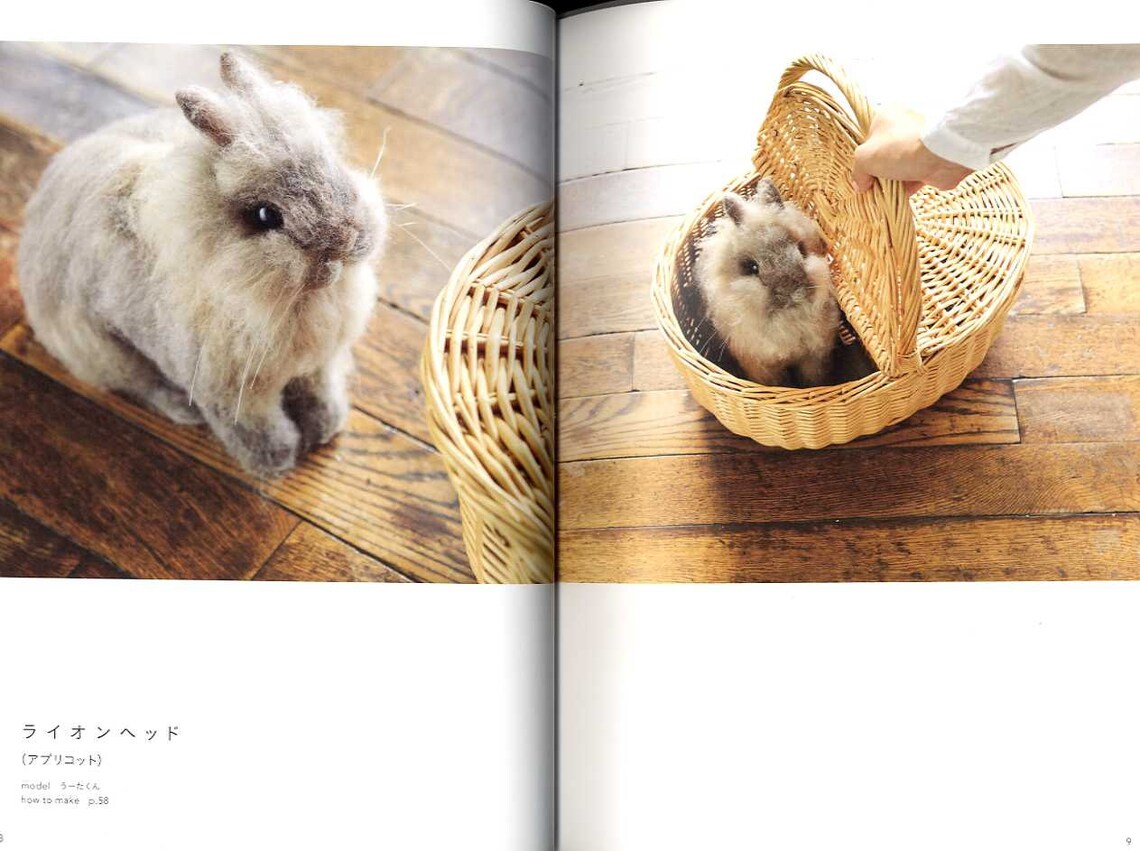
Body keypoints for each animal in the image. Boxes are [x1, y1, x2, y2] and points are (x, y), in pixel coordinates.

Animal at [17, 51, 388, 476]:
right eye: (266, 215)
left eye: (331, 159)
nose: (348, 240)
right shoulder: (230, 394)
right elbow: (254, 428)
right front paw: (277, 461)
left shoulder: (318, 366)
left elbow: (321, 395)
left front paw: (326, 431)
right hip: (106, 351)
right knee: (143, 386)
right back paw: (183, 411)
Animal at [695, 181, 839, 387]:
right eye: (752, 267)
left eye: (801, 249)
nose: (792, 294)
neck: (788, 320)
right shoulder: (761, 366)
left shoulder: (814, 357)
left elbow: (813, 379)